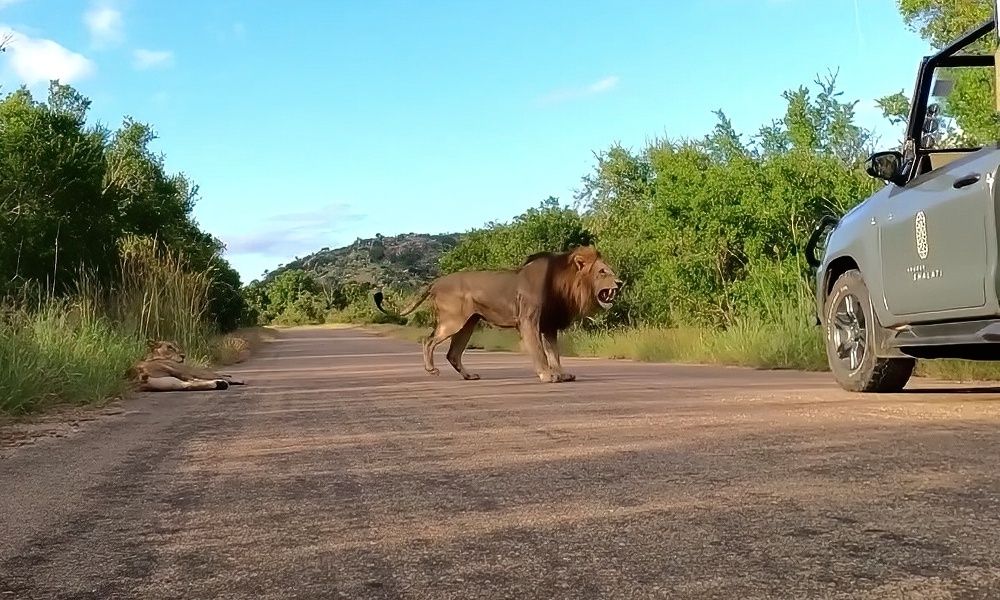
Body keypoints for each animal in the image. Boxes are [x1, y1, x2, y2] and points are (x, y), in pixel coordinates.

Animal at [374, 245, 621, 383]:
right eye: (602, 271)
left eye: (609, 270)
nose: (620, 283)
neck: (564, 283)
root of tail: (436, 281)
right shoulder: (529, 320)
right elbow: (540, 352)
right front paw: (547, 375)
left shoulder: (549, 324)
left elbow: (554, 353)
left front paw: (562, 374)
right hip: (453, 321)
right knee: (428, 340)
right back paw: (431, 369)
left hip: (468, 324)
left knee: (453, 354)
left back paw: (469, 376)